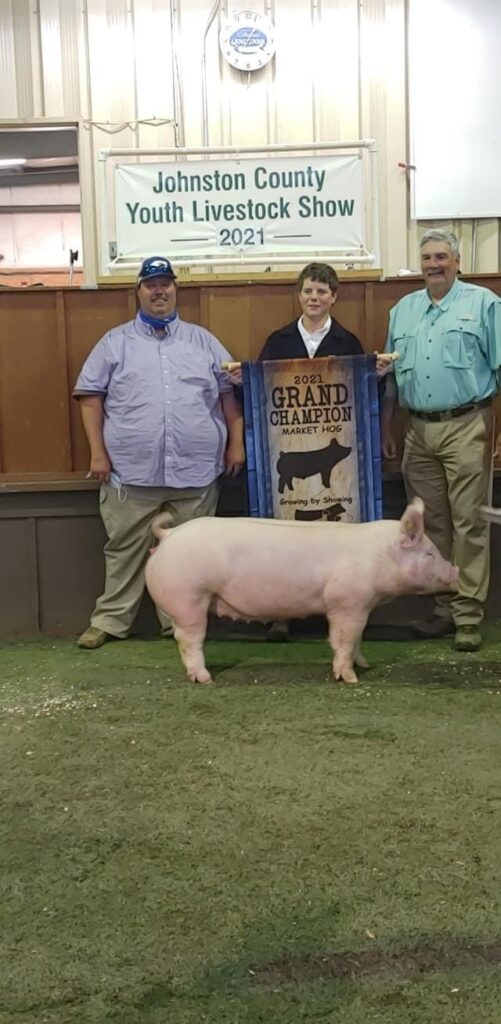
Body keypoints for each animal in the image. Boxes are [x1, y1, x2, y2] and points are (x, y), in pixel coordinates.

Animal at [145, 497, 458, 686]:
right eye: (430, 553)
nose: (454, 569)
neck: (380, 558)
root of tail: (168, 535)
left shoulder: (360, 606)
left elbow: (357, 639)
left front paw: (365, 666)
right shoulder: (347, 603)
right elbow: (344, 640)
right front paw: (351, 679)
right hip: (189, 598)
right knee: (189, 640)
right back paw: (205, 678)